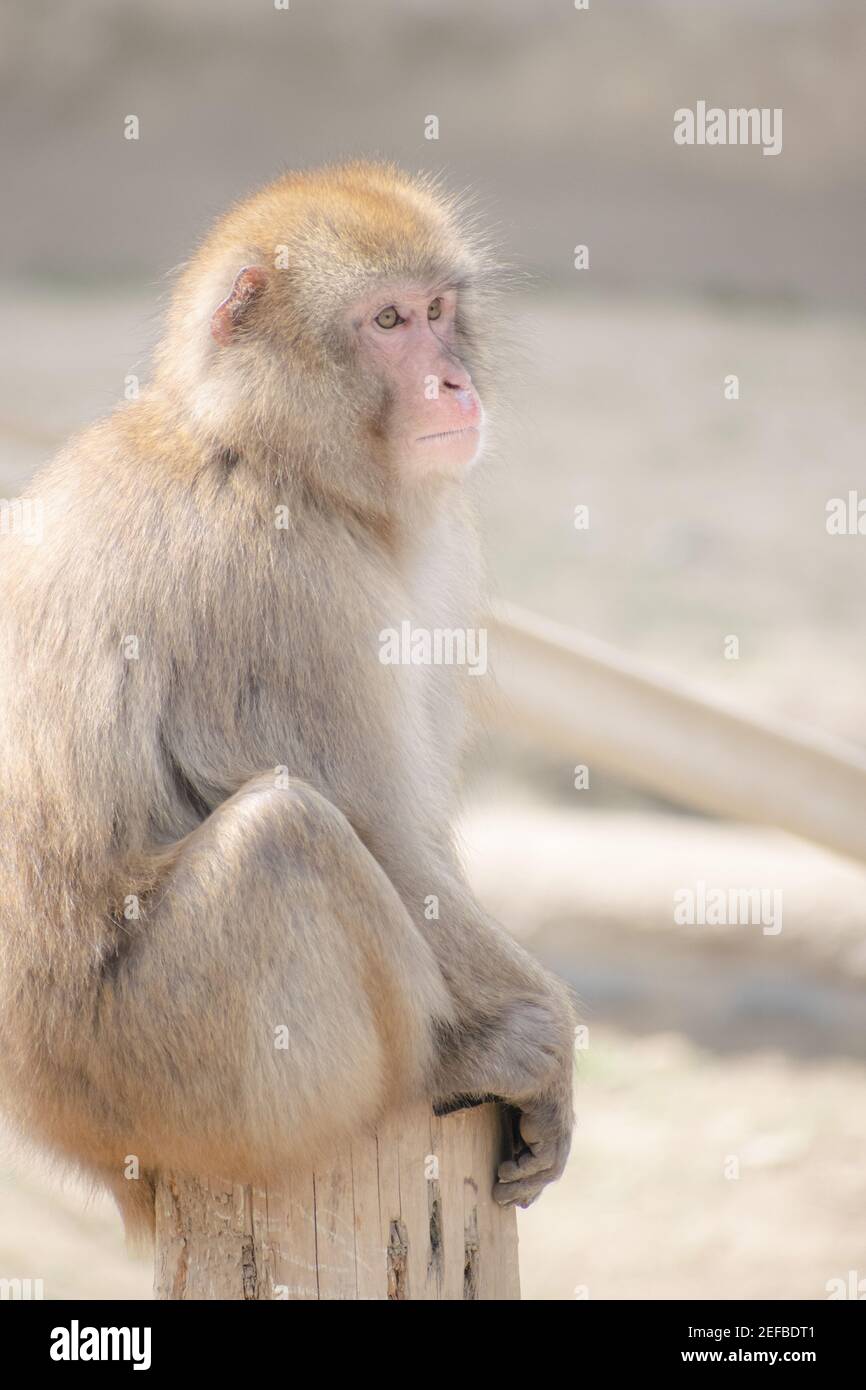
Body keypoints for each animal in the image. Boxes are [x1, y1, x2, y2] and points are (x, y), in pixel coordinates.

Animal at [0, 161, 576, 1241]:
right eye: (386, 321)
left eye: (438, 311)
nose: (453, 383)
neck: (265, 453)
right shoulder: (280, 583)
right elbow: (383, 831)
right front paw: (548, 1044)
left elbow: (417, 832)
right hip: (170, 1073)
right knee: (286, 835)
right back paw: (445, 1062)